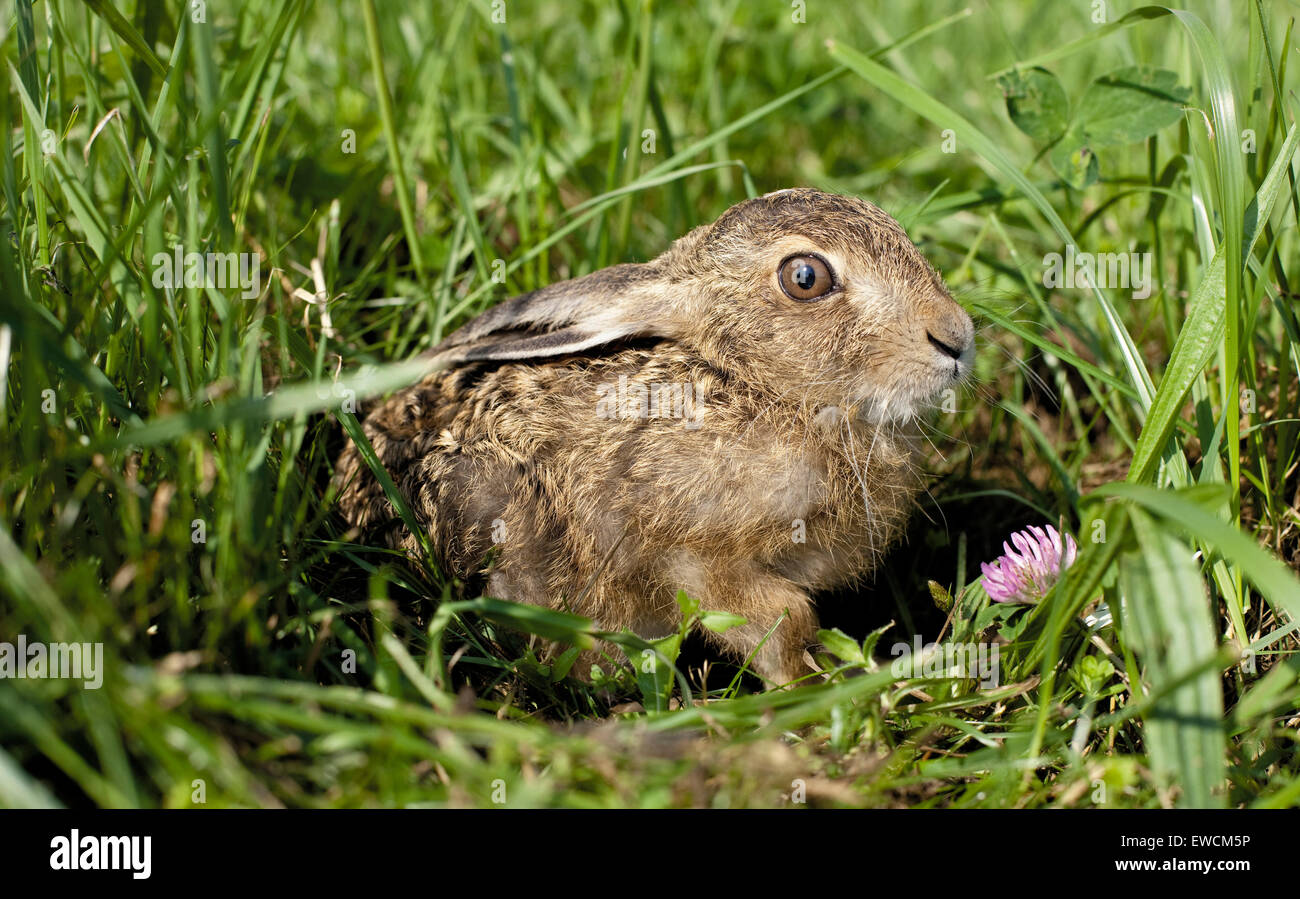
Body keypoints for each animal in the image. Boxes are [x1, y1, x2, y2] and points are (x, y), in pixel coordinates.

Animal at [332, 188, 974, 687]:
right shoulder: (691, 557)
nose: (956, 338)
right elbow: (782, 620)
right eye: (805, 278)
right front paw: (814, 689)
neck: (756, 383)